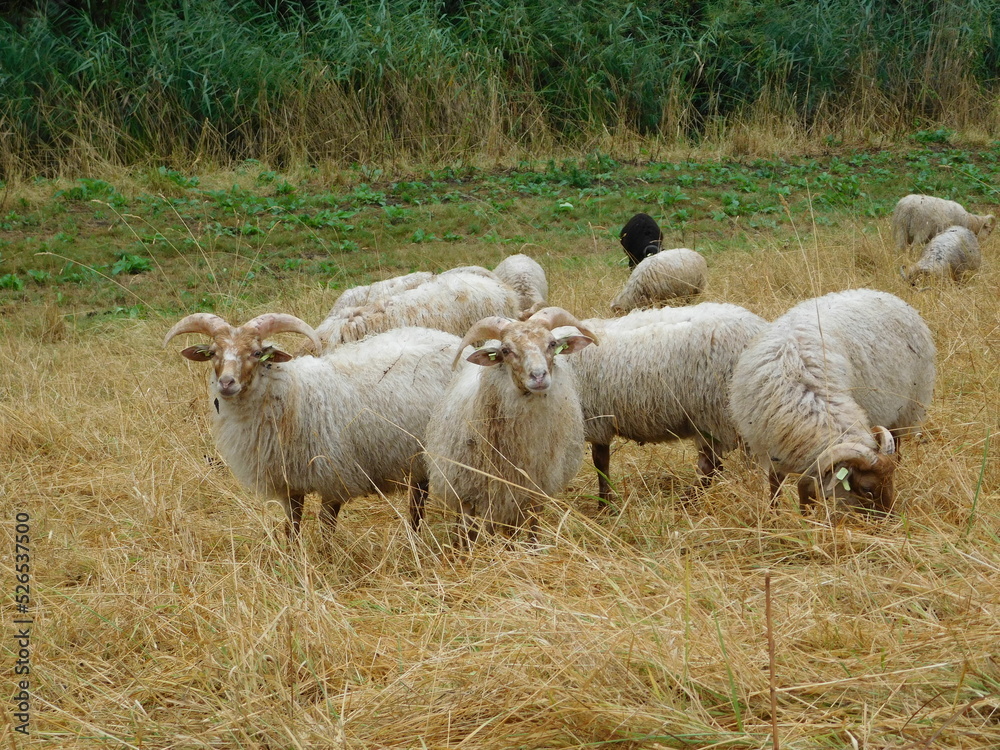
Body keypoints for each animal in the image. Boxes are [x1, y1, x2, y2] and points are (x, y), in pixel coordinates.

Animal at [164, 312, 461, 536]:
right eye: (214, 352)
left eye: (257, 353)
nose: (227, 383)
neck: (294, 395)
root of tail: (447, 337)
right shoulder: (288, 482)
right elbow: (292, 525)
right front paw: (293, 560)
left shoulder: (334, 475)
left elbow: (326, 524)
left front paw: (326, 557)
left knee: (418, 500)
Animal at [422, 307, 599, 545]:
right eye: (506, 350)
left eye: (552, 343)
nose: (538, 376)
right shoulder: (487, 493)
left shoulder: (534, 492)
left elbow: (532, 531)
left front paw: (531, 549)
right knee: (466, 528)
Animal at [562, 303, 768, 507]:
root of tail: (757, 327)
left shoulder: (597, 421)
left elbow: (600, 463)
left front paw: (605, 505)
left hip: (714, 414)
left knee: (711, 465)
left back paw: (684, 501)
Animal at [729, 289, 935, 514]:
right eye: (866, 489)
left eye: (891, 481)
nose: (888, 520)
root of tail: (881, 293)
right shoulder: (771, 446)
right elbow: (775, 485)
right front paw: (776, 515)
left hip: (905, 410)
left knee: (897, 451)